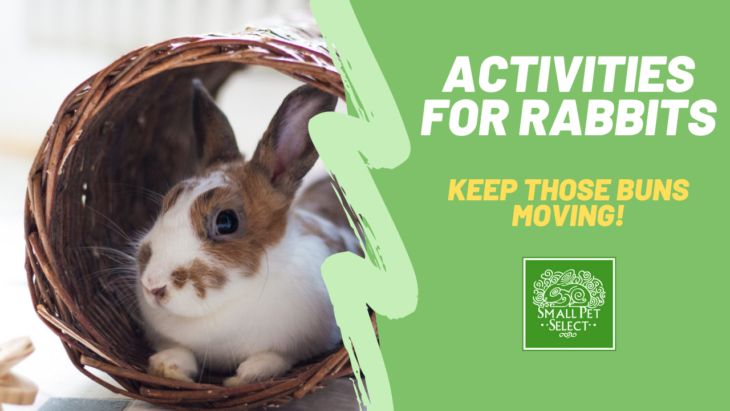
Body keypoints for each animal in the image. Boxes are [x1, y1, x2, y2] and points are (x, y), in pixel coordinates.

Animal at [134, 79, 362, 387]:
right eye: (168, 200)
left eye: (226, 222)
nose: (152, 285)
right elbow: (181, 351)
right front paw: (166, 366)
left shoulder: (302, 344)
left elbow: (276, 358)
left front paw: (244, 376)